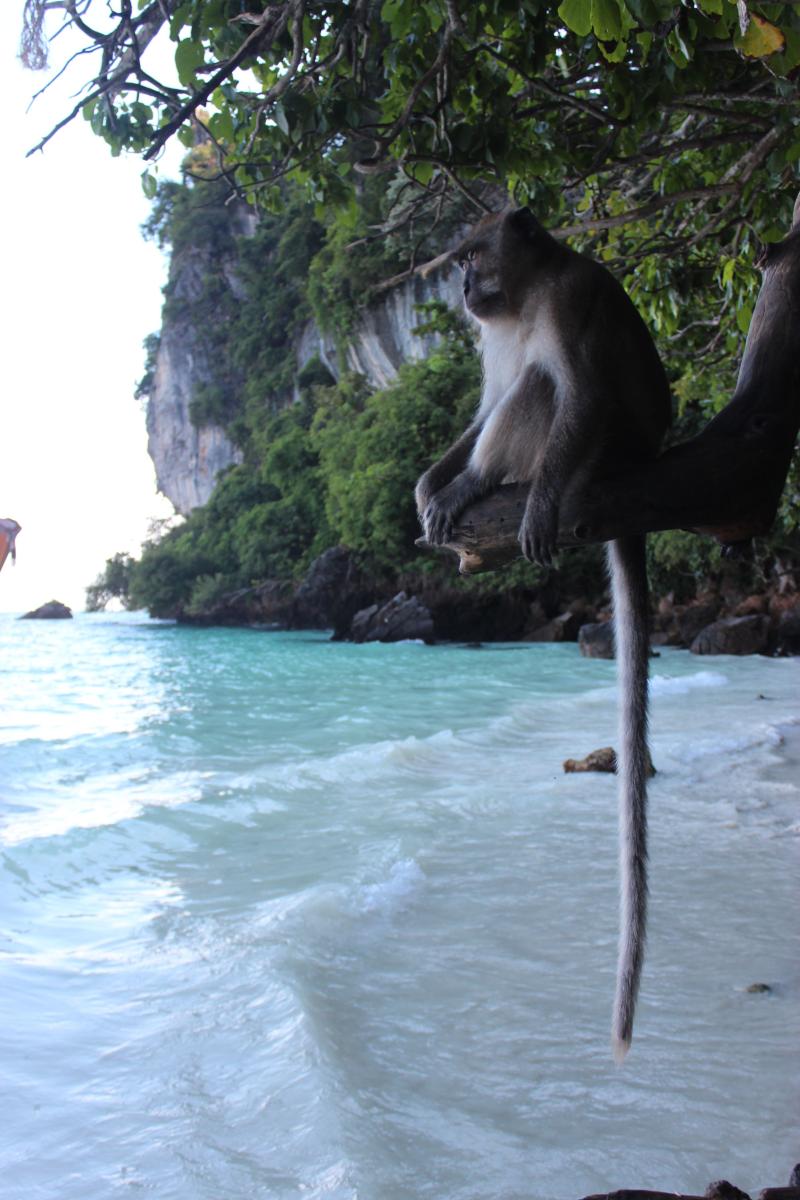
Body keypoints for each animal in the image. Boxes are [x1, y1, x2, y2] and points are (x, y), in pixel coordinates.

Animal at [416, 207, 672, 1060]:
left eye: (472, 256)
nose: (463, 285)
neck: (522, 300)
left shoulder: (572, 298)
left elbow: (577, 391)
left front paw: (481, 486)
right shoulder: (489, 333)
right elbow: (482, 404)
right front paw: (429, 480)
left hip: (612, 448)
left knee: (544, 387)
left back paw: (488, 484)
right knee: (519, 387)